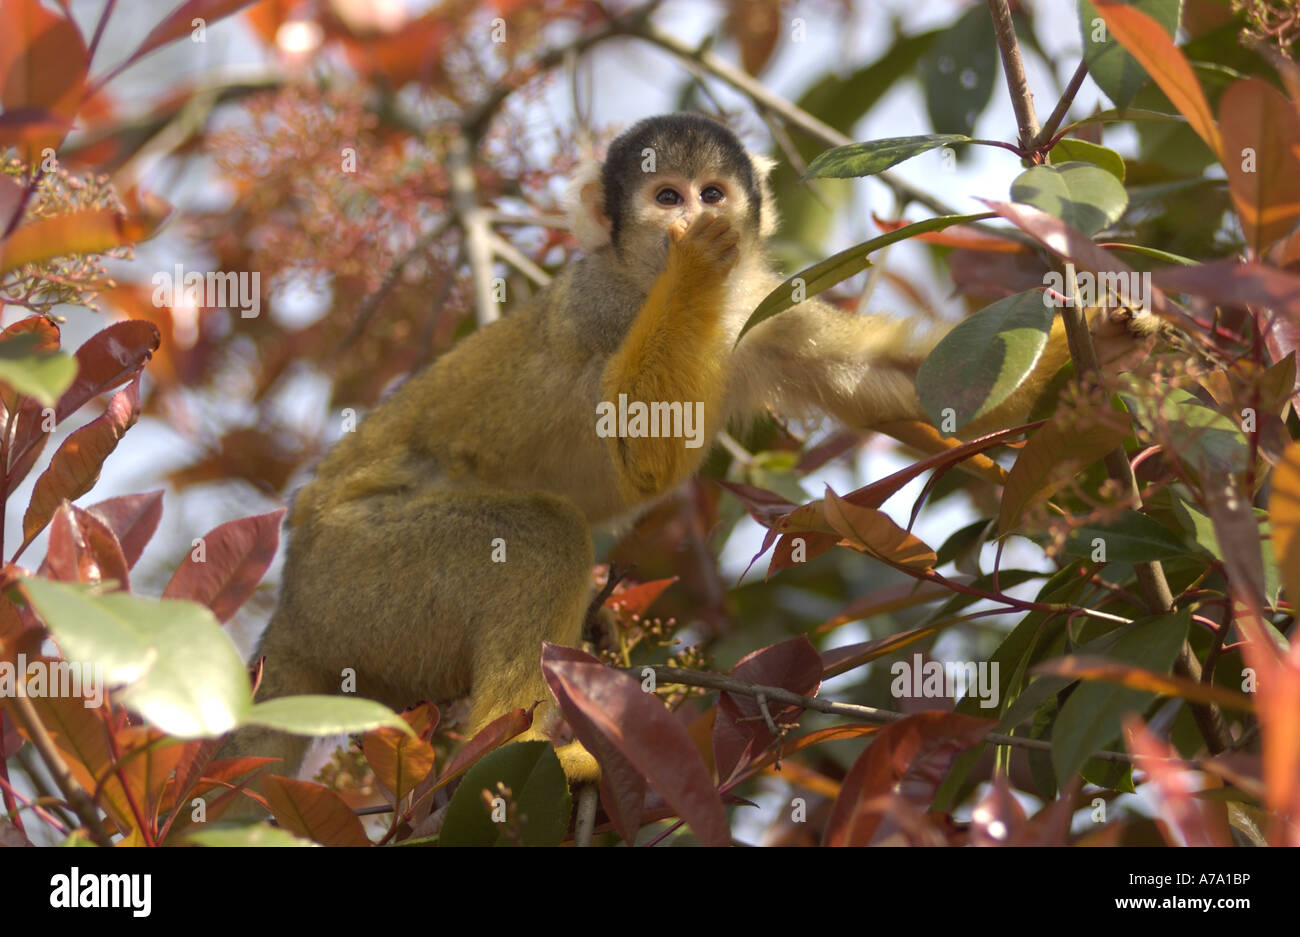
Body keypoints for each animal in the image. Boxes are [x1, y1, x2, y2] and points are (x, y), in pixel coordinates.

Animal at [220, 112, 1145, 801]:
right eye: (664, 195)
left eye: (711, 192)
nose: (691, 218)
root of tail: (290, 609)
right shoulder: (597, 305)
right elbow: (639, 448)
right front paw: (695, 263)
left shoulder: (767, 308)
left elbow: (913, 384)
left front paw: (1111, 348)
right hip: (359, 573)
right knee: (538, 537)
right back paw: (508, 750)